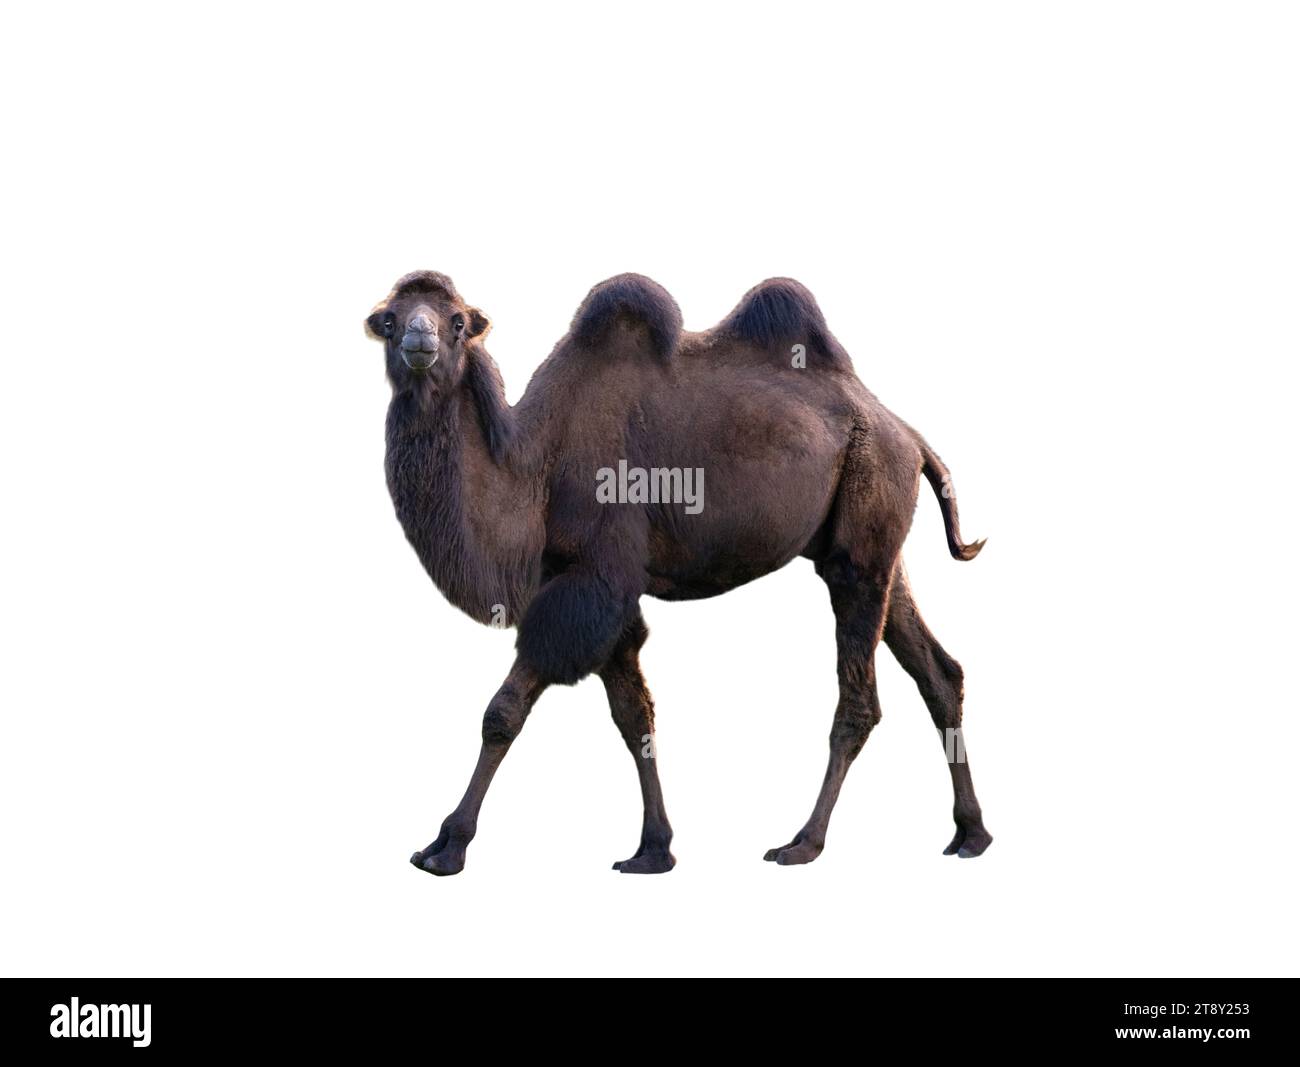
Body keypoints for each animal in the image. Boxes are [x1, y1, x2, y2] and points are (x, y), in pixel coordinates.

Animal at [365, 270, 992, 876]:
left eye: (457, 321)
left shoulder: (594, 580)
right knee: (938, 670)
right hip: (875, 544)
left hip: (865, 513)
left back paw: (803, 842)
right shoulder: (599, 587)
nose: (420, 340)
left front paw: (446, 846)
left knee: (859, 698)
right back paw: (971, 834)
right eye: (389, 319)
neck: (535, 464)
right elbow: (633, 716)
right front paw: (652, 849)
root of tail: (910, 437)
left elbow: (504, 710)